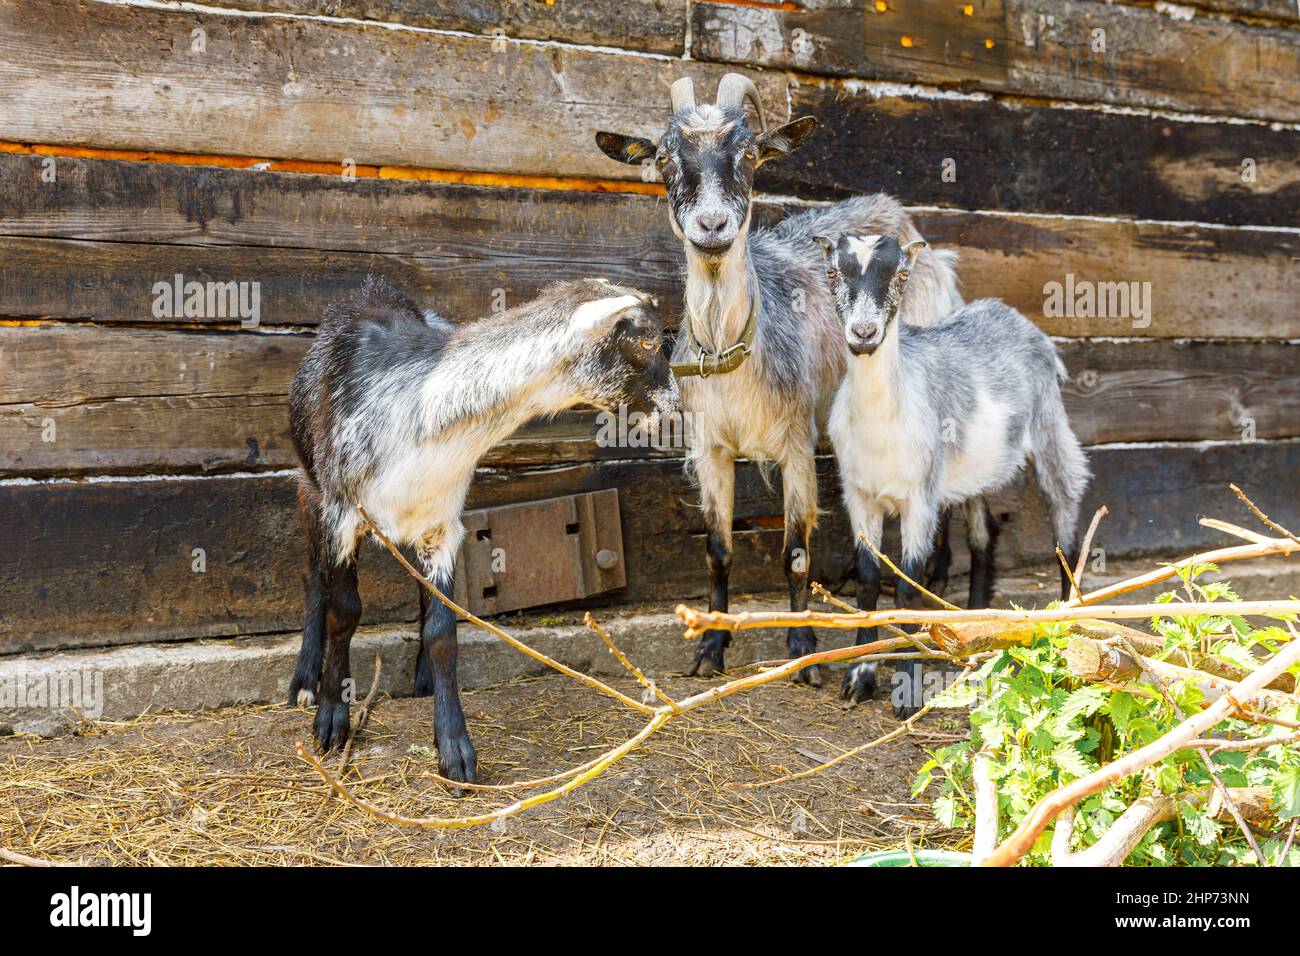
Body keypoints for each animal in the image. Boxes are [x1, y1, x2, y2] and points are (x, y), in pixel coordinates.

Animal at [286, 275, 680, 784]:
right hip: (307, 484)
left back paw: (421, 677)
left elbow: (443, 632)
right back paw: (304, 680)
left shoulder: (441, 526)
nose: (675, 407)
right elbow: (345, 611)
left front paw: (454, 747)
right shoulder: (340, 513)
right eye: (647, 340)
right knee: (312, 577)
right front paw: (332, 715)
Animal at [596, 74, 963, 692]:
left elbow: (794, 553)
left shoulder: (794, 441)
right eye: (666, 157)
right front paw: (711, 649)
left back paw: (934, 583)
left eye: (748, 154)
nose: (712, 226)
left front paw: (801, 649)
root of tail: (897, 215)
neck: (735, 354)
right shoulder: (710, 449)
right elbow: (718, 550)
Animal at [815, 233, 1091, 715]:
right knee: (983, 536)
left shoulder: (920, 499)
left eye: (901, 274)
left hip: (1050, 426)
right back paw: (980, 625)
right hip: (974, 468)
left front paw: (906, 690)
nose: (864, 334)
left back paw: (1065, 613)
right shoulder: (859, 495)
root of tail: (1011, 314)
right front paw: (859, 675)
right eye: (832, 271)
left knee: (1066, 513)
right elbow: (868, 583)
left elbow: (907, 591)